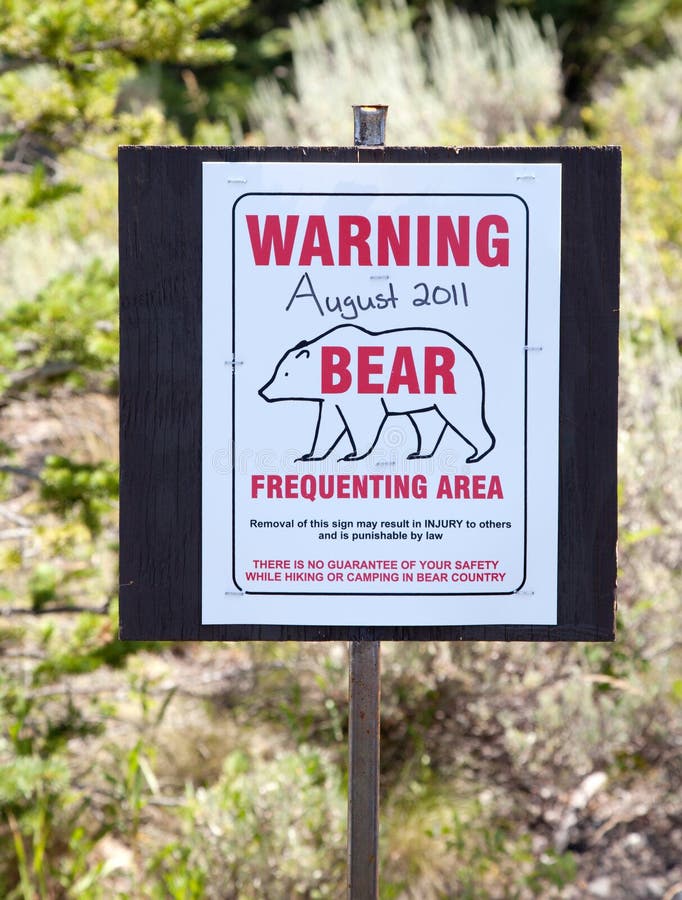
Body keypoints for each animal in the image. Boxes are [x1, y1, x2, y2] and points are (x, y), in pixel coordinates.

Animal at [258, 324, 495, 464]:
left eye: (285, 373)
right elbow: (327, 423)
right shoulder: (332, 397)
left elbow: (363, 418)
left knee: (465, 415)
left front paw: (352, 454)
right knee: (426, 421)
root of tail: (466, 350)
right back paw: (419, 452)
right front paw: (308, 455)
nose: (263, 391)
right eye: (278, 369)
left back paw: (476, 454)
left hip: (454, 384)